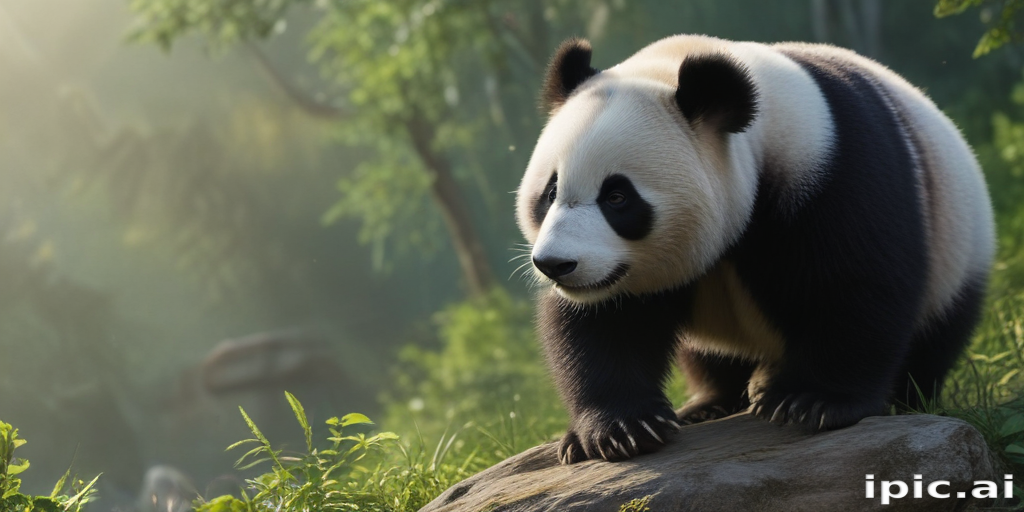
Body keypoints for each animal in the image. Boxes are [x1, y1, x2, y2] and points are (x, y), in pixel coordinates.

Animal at [515, 35, 995, 465]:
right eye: (550, 192)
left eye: (617, 197)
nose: (555, 264)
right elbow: (604, 323)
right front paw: (620, 429)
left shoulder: (834, 173)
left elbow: (856, 284)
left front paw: (813, 402)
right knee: (710, 356)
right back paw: (710, 403)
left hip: (956, 245)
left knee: (934, 338)